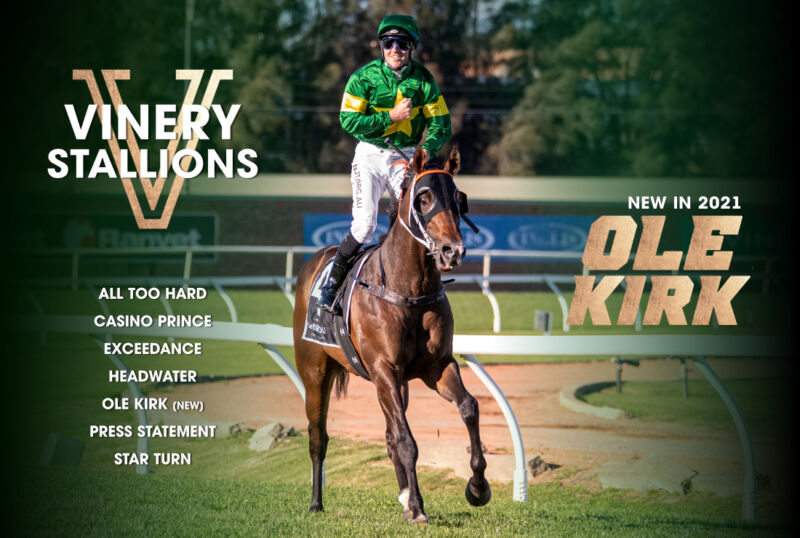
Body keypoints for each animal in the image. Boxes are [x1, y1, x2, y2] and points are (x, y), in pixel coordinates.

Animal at [291, 145, 491, 524]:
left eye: (459, 198)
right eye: (423, 198)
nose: (452, 250)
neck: (407, 287)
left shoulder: (436, 367)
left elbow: (469, 407)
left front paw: (477, 488)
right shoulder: (384, 369)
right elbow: (406, 440)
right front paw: (419, 507)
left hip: (394, 385)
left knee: (387, 434)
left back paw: (404, 496)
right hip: (315, 371)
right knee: (318, 436)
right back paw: (315, 503)